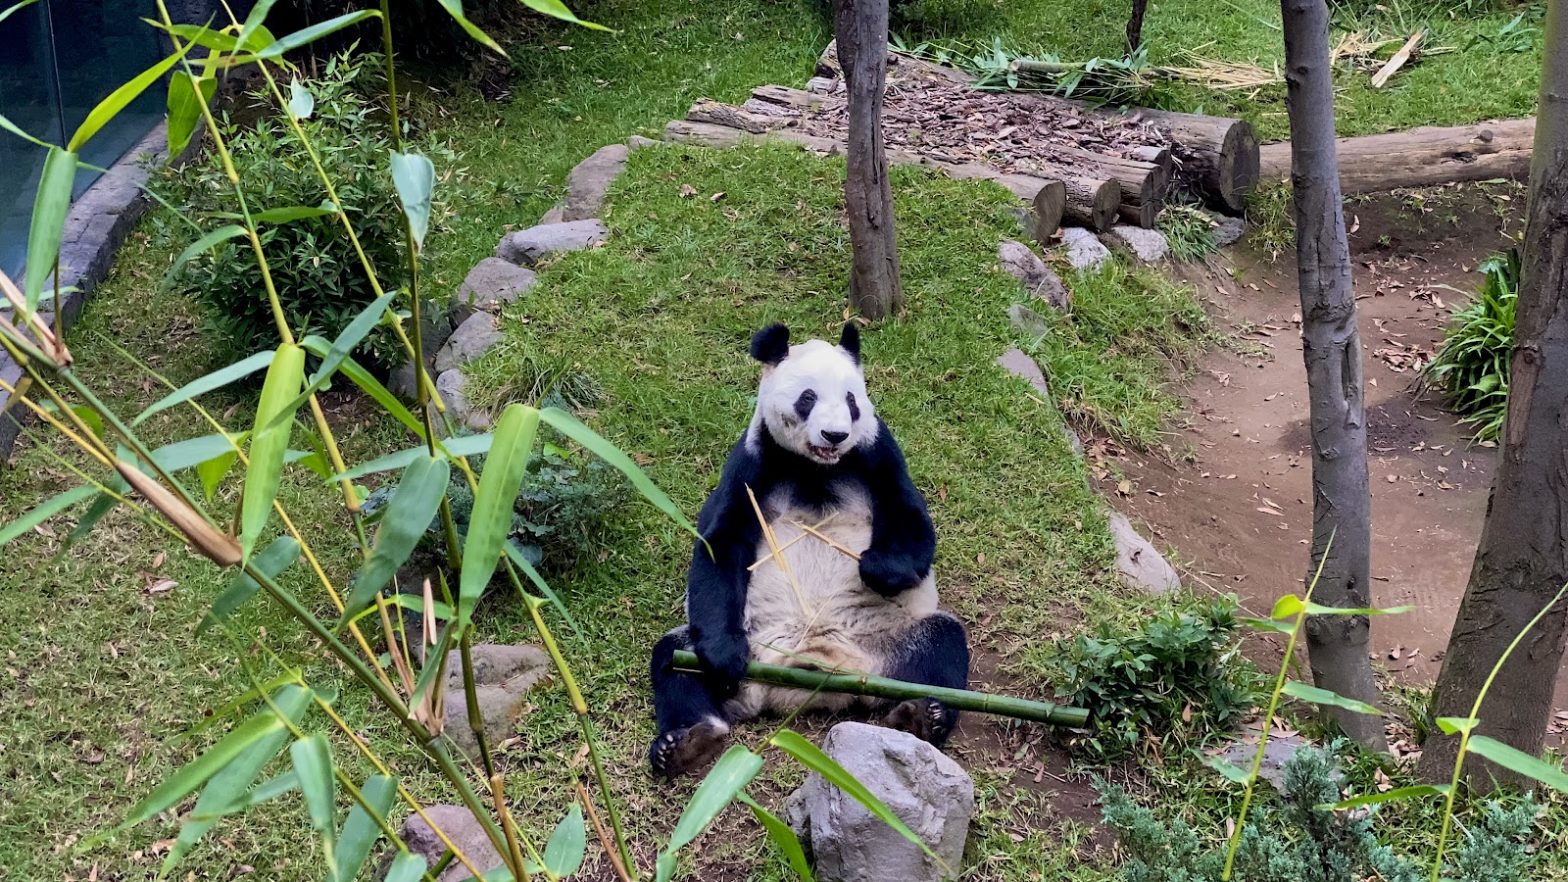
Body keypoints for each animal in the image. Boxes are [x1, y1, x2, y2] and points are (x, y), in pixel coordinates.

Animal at [648, 322, 971, 777]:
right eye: (808, 398)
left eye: (852, 401)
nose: (834, 434)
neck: (817, 467)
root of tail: (808, 679)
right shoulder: (753, 463)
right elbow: (720, 546)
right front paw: (725, 656)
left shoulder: (876, 452)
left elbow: (911, 521)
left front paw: (877, 569)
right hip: (752, 650)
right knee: (675, 659)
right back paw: (686, 741)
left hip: (888, 648)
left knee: (943, 645)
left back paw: (923, 716)